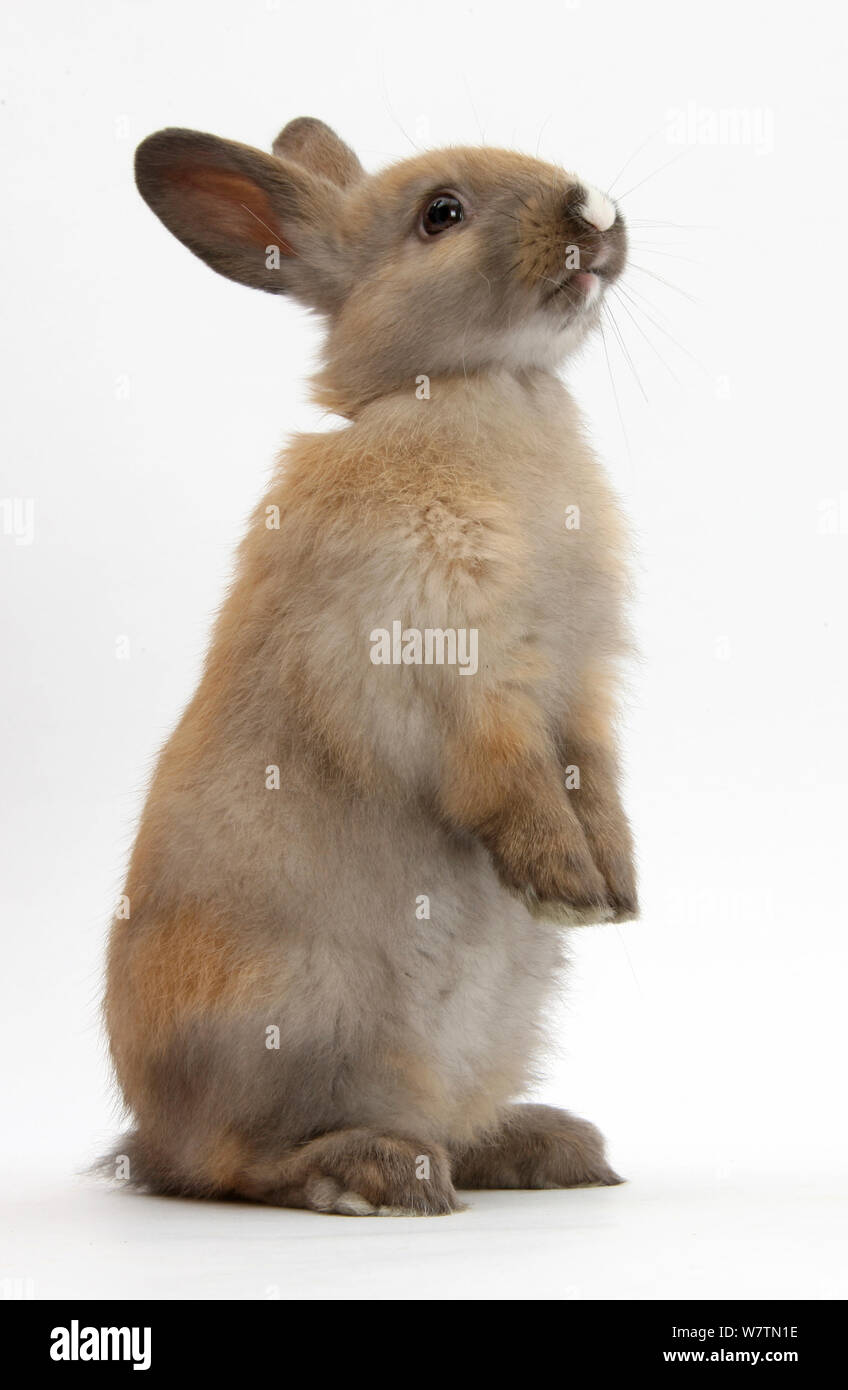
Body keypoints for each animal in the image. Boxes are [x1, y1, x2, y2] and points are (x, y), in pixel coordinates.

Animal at [103, 117, 638, 1216]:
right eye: (441, 214)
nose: (596, 212)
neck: (480, 389)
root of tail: (143, 1131)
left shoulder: (582, 684)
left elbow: (592, 775)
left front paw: (613, 887)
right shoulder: (449, 672)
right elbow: (509, 778)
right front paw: (563, 883)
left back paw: (544, 1145)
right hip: (294, 1015)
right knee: (230, 1163)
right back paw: (375, 1170)